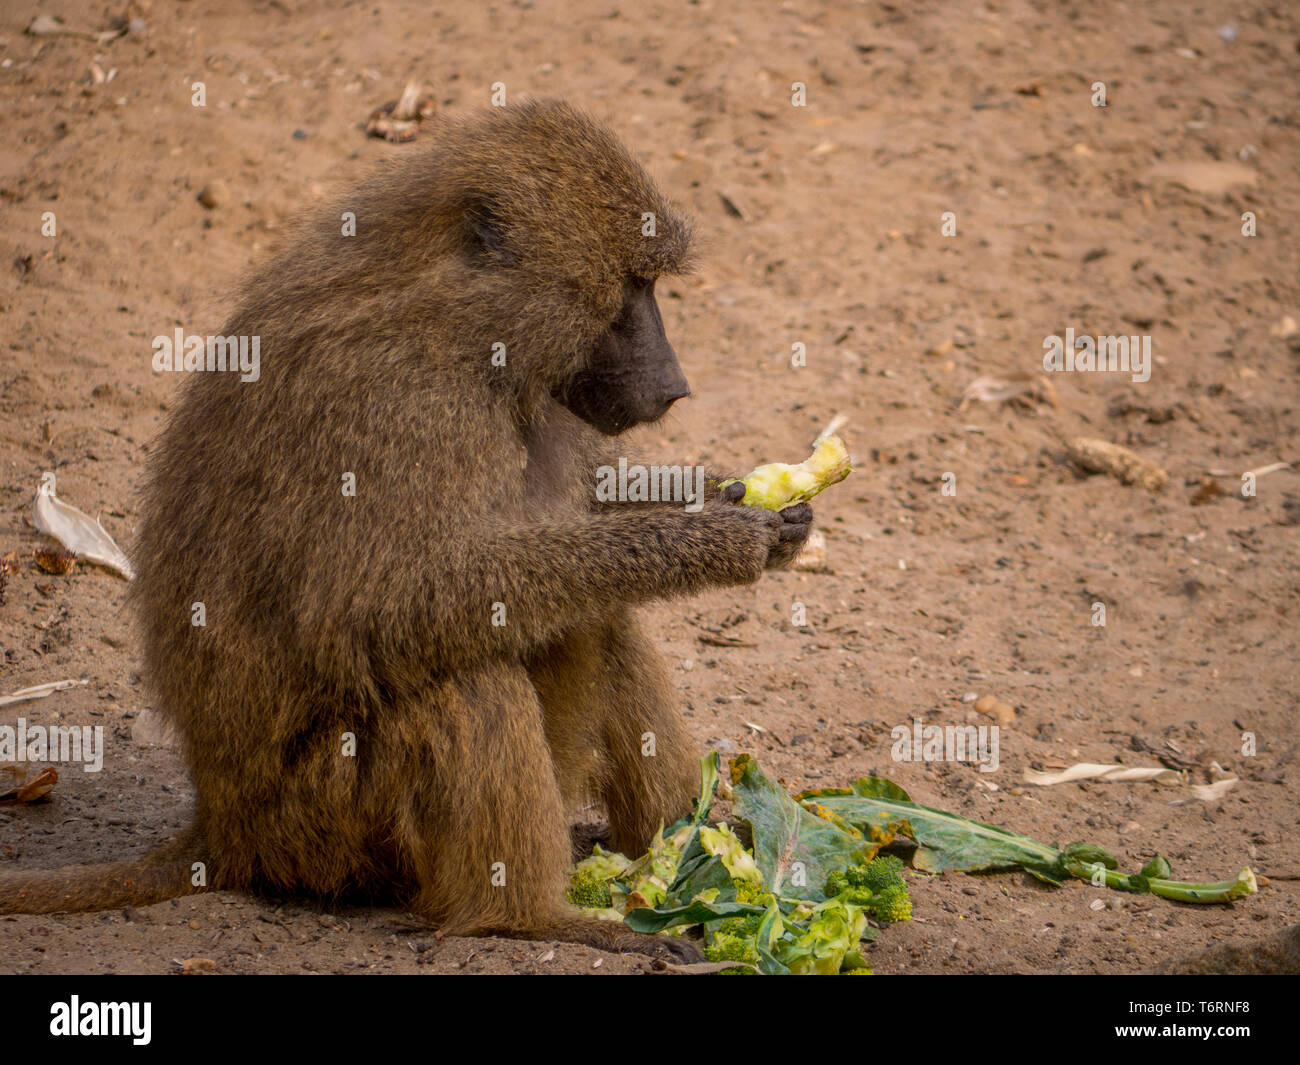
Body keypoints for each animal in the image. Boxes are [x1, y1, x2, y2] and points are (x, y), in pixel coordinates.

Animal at [0, 100, 813, 960]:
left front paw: (746, 501)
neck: (460, 326)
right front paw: (714, 540)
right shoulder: (399, 407)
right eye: (634, 287)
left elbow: (579, 512)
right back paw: (541, 915)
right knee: (464, 678)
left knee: (596, 620)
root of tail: (222, 824)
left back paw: (694, 846)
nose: (675, 387)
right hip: (326, 819)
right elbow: (388, 605)